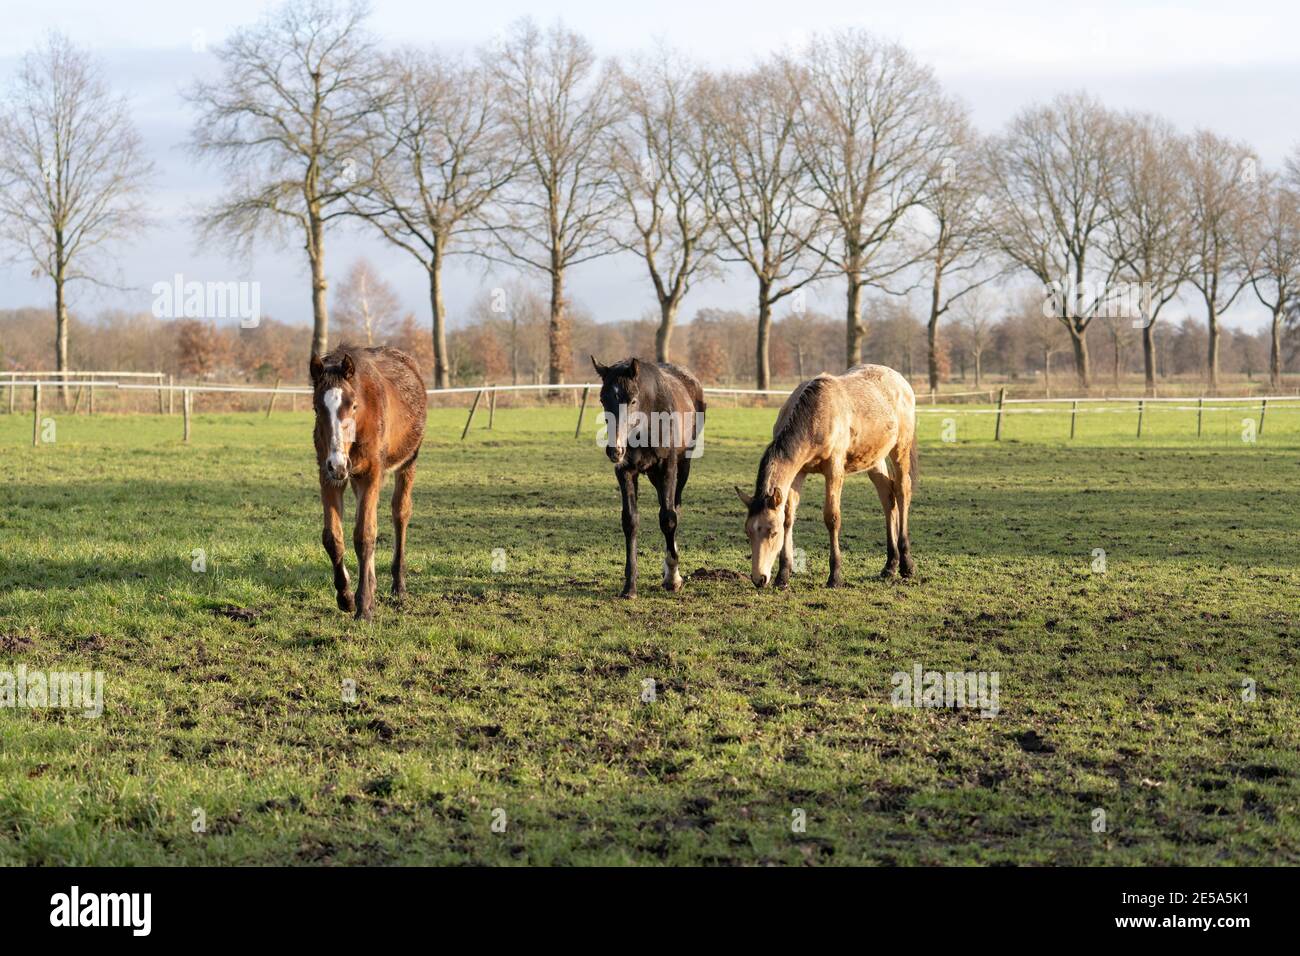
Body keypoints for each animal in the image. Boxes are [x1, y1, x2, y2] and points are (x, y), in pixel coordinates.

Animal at [310, 345, 427, 621]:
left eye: (353, 406)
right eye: (317, 409)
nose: (337, 464)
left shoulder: (372, 473)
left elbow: (364, 535)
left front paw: (363, 607)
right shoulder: (328, 477)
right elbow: (333, 537)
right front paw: (346, 597)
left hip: (407, 462)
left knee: (400, 513)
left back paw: (398, 586)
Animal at [591, 356, 706, 598]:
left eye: (633, 400)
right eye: (603, 399)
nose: (615, 450)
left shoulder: (668, 468)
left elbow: (668, 518)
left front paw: (673, 578)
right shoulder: (625, 471)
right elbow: (630, 521)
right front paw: (630, 586)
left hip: (683, 466)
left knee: (675, 508)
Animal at [736, 364, 917, 589]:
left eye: (772, 532)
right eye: (748, 532)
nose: (759, 579)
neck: (815, 417)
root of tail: (900, 380)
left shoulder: (834, 469)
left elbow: (832, 518)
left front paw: (835, 576)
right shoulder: (799, 472)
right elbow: (789, 516)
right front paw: (783, 576)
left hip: (900, 449)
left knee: (902, 491)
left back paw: (906, 564)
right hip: (875, 459)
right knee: (887, 498)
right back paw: (890, 565)